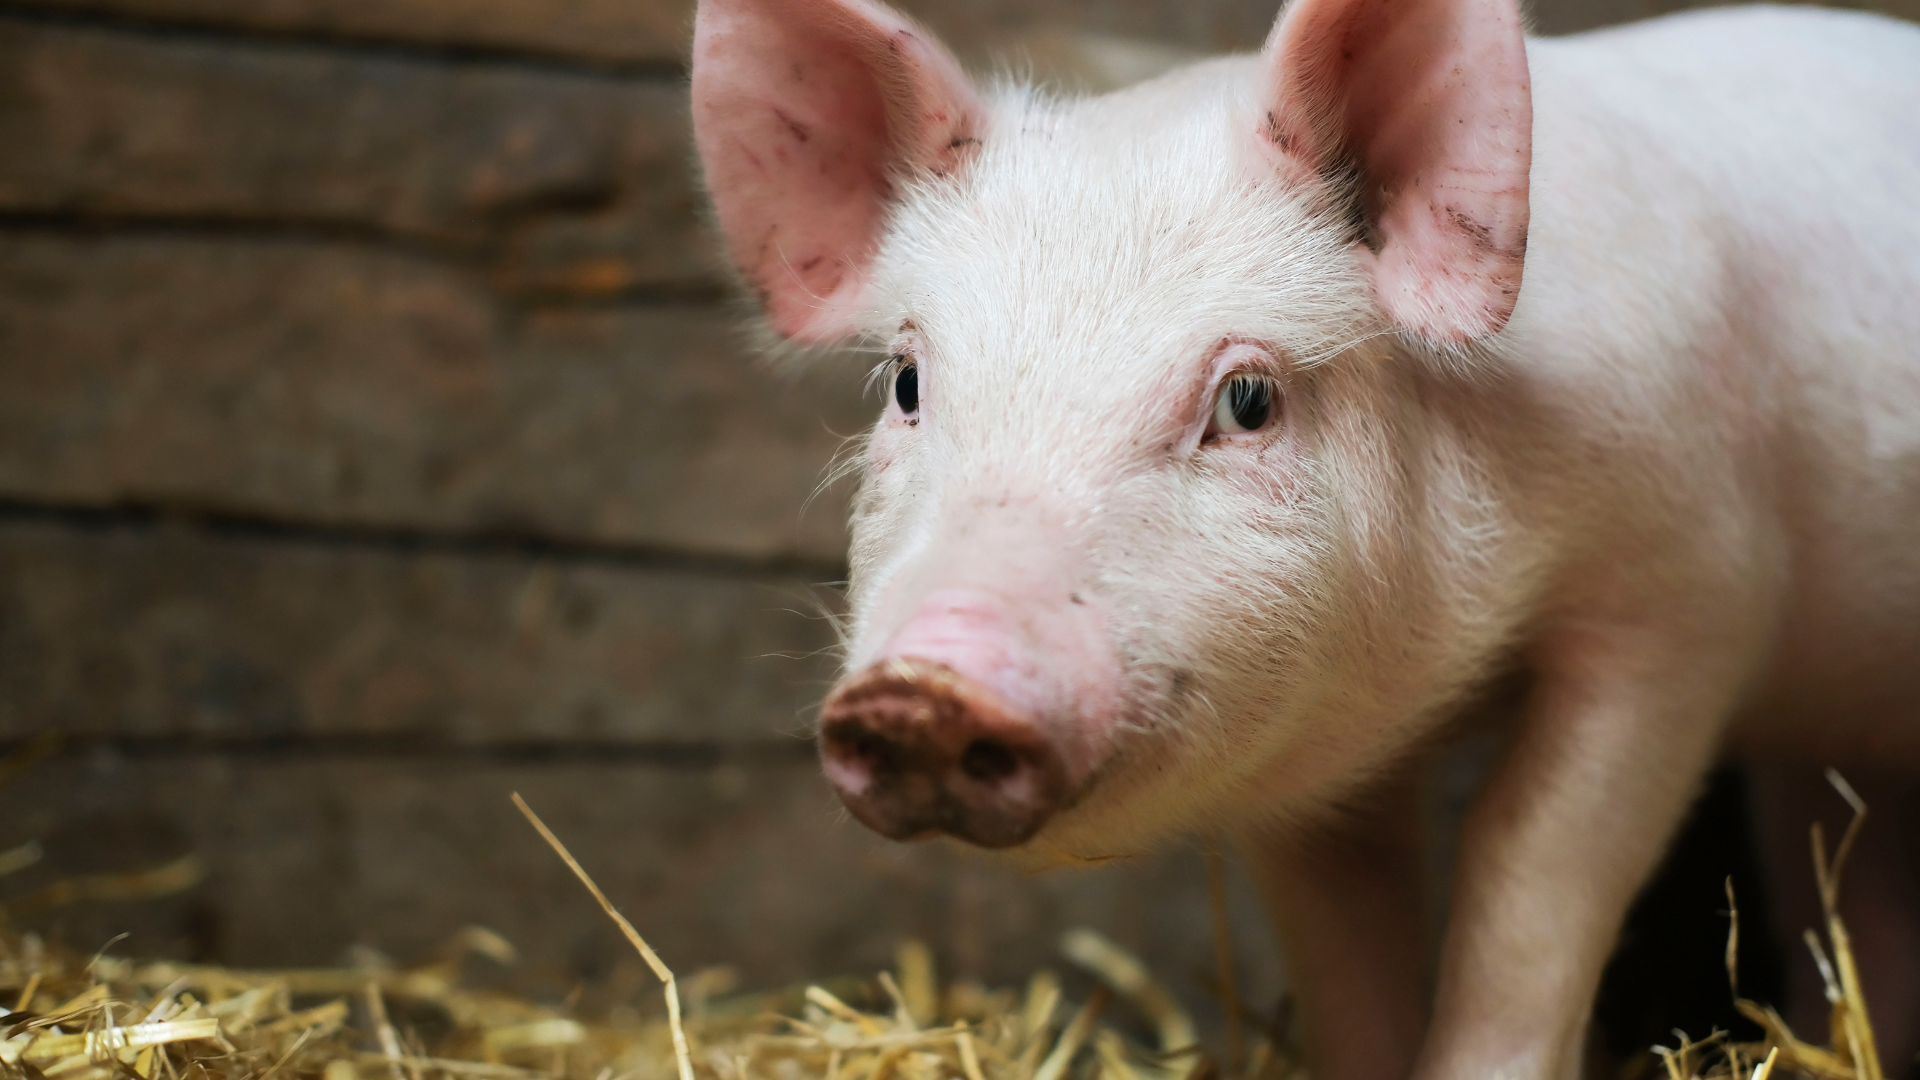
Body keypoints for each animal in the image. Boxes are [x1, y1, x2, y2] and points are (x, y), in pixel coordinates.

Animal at [688, 0, 1920, 1077]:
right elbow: (1349, 943)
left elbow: (1526, 876)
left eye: (1247, 400)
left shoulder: (1691, 593)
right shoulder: (1300, 761)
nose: (924, 690)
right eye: (906, 383)